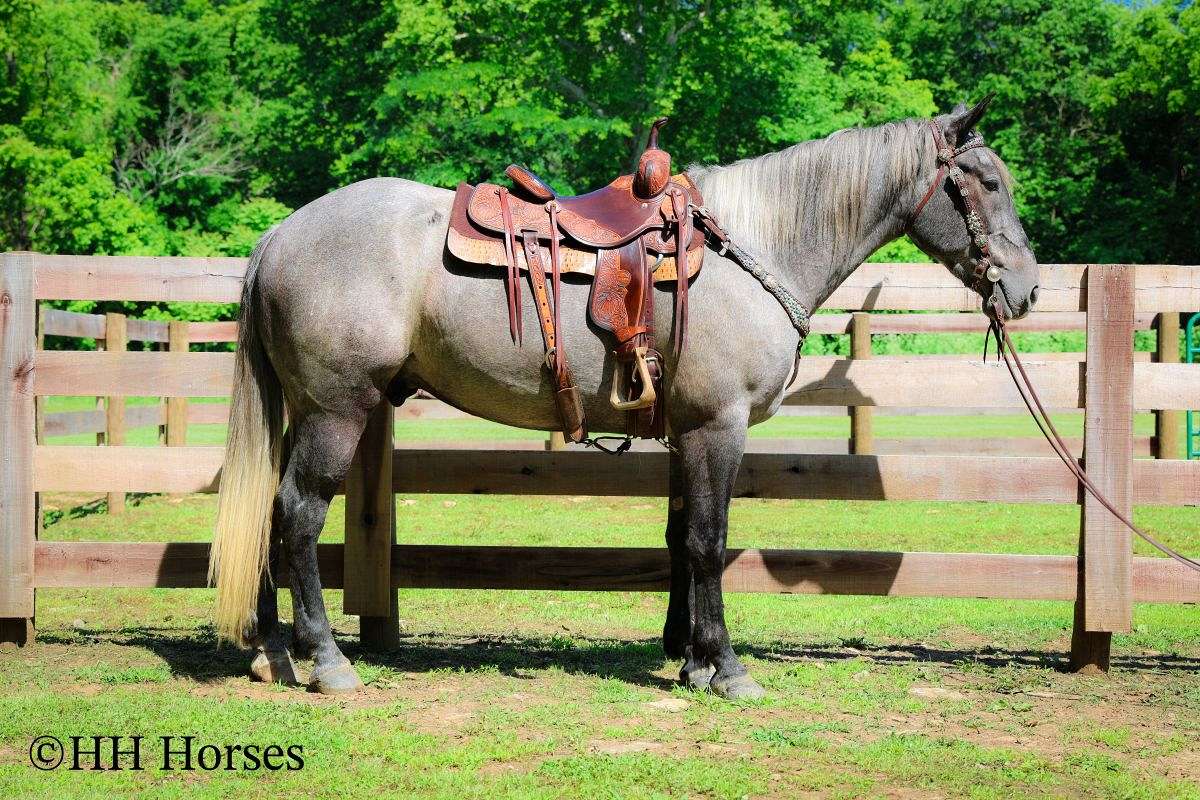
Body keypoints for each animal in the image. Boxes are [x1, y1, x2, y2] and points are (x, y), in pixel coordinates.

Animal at [208, 97, 1039, 697]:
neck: (750, 249)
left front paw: (693, 660)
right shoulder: (718, 426)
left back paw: (273, 653)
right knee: (299, 515)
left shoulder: (686, 432)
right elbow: (708, 543)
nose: (1027, 289)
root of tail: (279, 235)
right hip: (337, 411)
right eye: (987, 181)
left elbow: (680, 539)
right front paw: (726, 668)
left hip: (303, 412)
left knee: (269, 513)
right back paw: (326, 660)